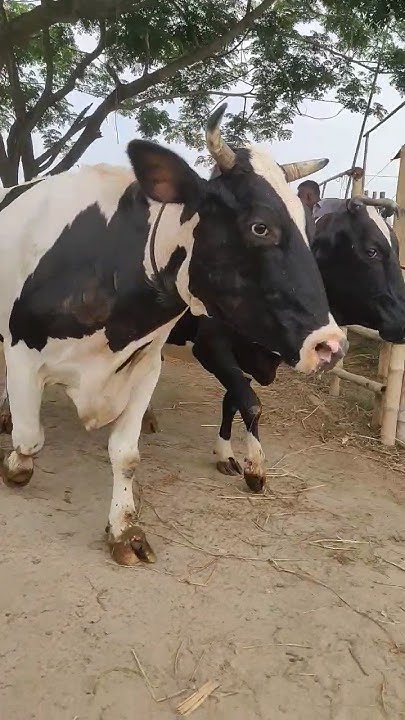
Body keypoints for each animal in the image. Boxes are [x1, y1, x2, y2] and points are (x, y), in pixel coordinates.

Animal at [0, 103, 347, 566]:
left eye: (311, 229)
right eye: (260, 227)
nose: (331, 345)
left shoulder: (145, 366)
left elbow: (126, 455)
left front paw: (125, 529)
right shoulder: (23, 352)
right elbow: (29, 437)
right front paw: (16, 467)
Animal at [154, 195, 405, 492]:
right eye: (371, 251)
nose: (403, 319)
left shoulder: (247, 359)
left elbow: (232, 401)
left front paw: (225, 454)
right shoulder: (210, 346)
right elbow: (251, 404)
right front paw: (255, 468)